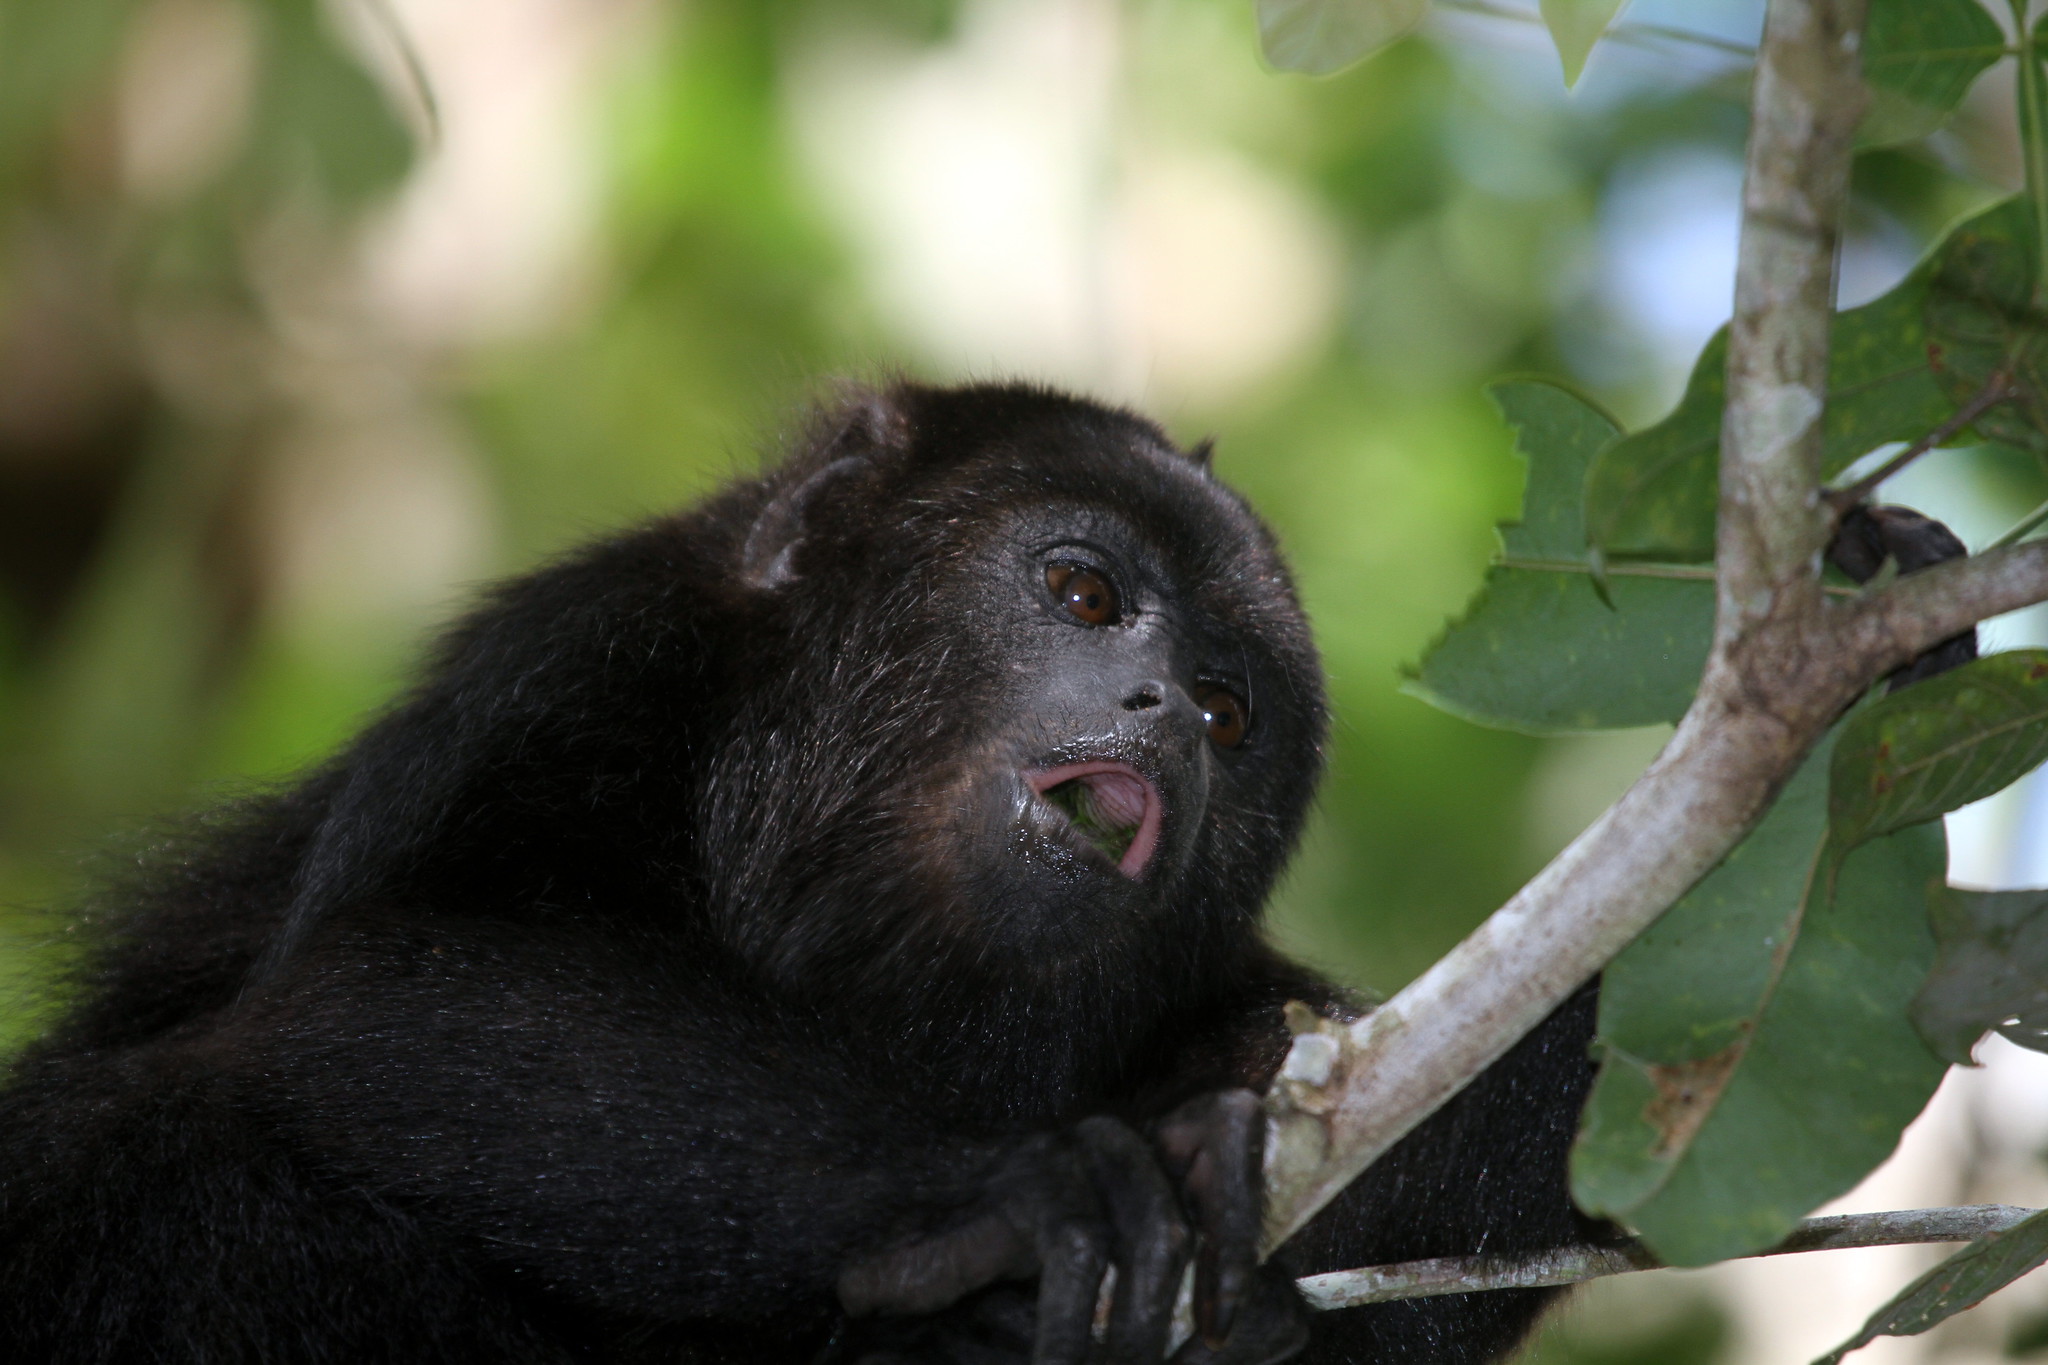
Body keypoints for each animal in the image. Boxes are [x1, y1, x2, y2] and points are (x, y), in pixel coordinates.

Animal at [0, 382, 1608, 1365]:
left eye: (1229, 711)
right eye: (1082, 592)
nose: (1165, 718)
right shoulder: (575, 664)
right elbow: (379, 985)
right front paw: (992, 1195)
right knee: (188, 1155)